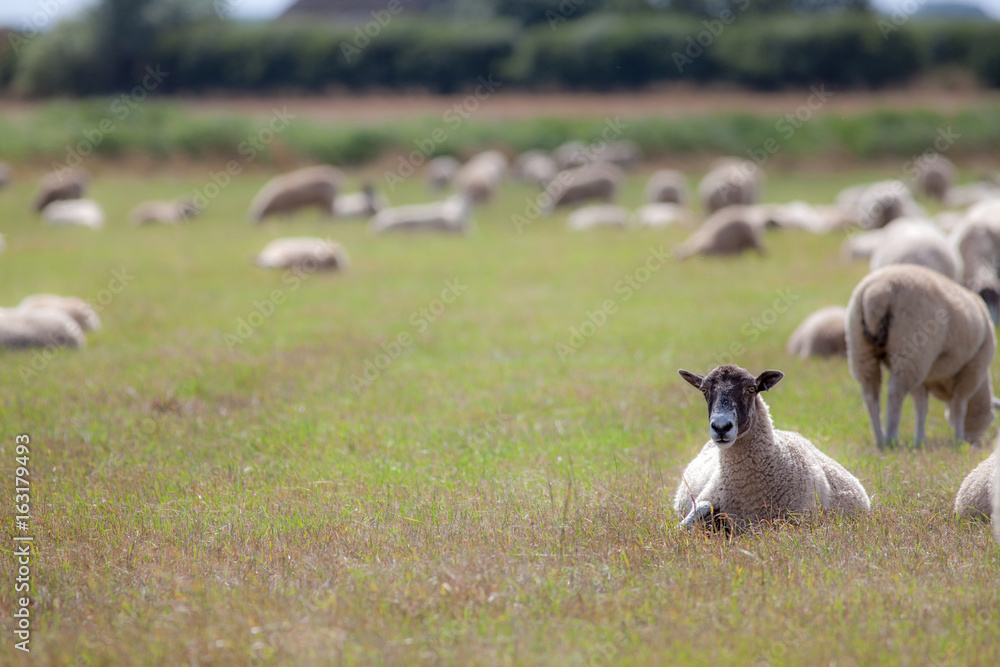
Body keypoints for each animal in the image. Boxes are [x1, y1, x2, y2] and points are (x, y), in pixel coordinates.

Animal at [846, 264, 997, 448]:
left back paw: (880, 440)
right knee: (895, 392)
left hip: (862, 349)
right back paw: (891, 438)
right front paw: (958, 439)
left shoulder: (925, 376)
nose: (974, 443)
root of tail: (878, 292)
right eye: (990, 419)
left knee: (870, 395)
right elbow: (959, 406)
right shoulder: (973, 368)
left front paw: (920, 441)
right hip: (912, 349)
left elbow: (921, 407)